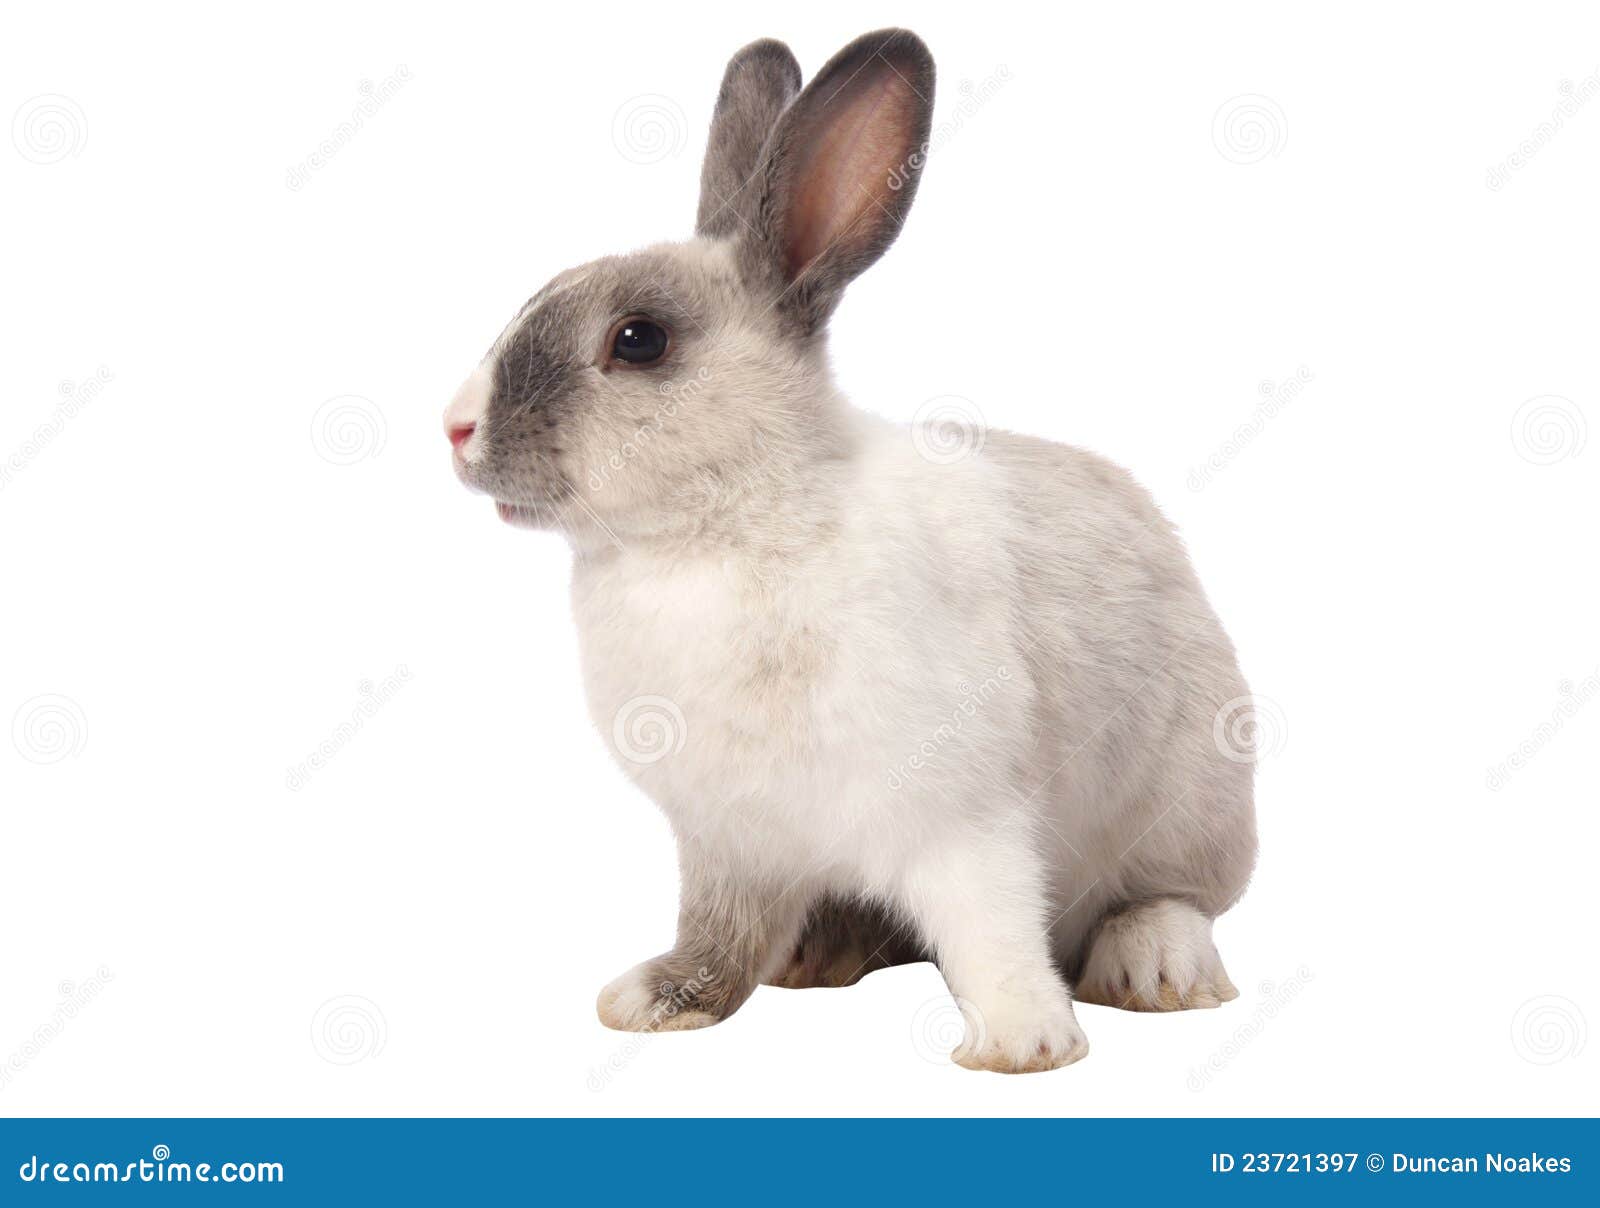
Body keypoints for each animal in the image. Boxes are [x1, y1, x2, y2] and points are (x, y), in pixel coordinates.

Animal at [444, 28, 1256, 1073]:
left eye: (639, 340)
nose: (456, 430)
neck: (722, 523)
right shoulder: (729, 841)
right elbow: (718, 933)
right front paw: (660, 1000)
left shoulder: (962, 817)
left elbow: (990, 924)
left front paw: (1023, 1045)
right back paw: (820, 951)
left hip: (1190, 805)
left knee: (1171, 898)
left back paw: (1152, 964)